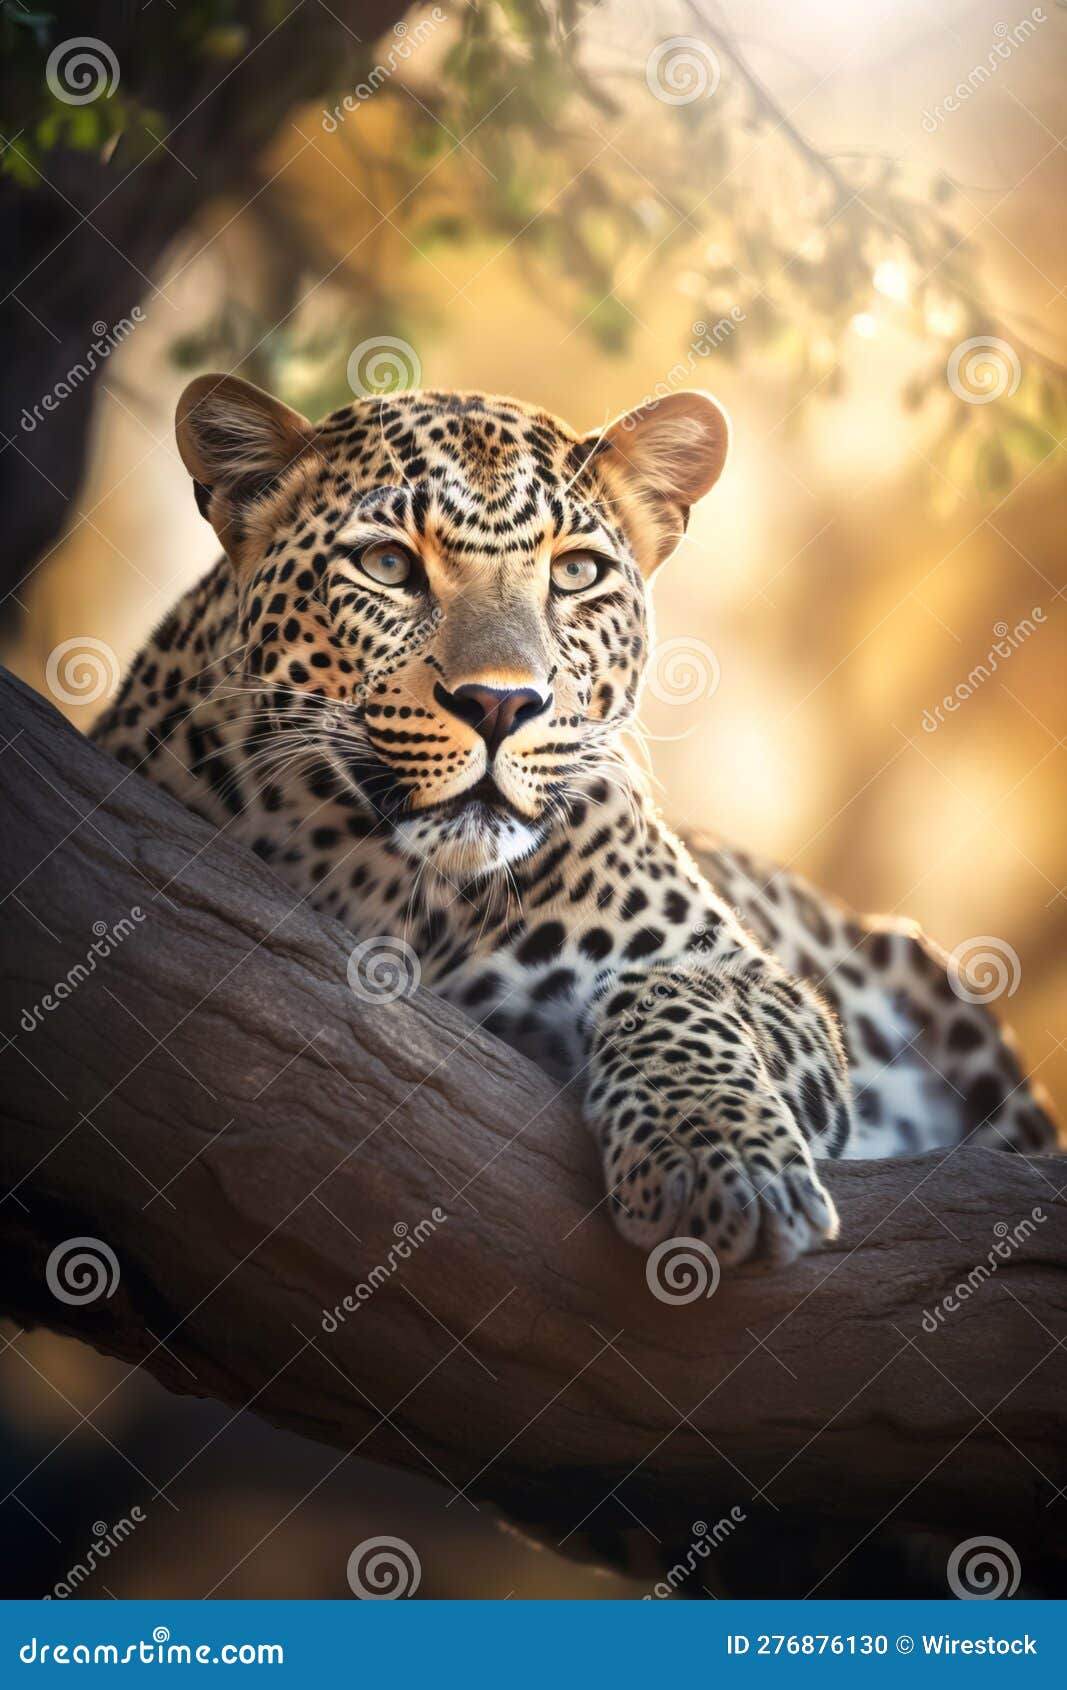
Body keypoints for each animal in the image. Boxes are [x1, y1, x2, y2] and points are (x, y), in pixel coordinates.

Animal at [91, 374, 1060, 1269]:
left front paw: (716, 1164)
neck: (380, 873)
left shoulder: (750, 980)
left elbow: (675, 998)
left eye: (575, 573)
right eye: (388, 566)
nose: (499, 704)